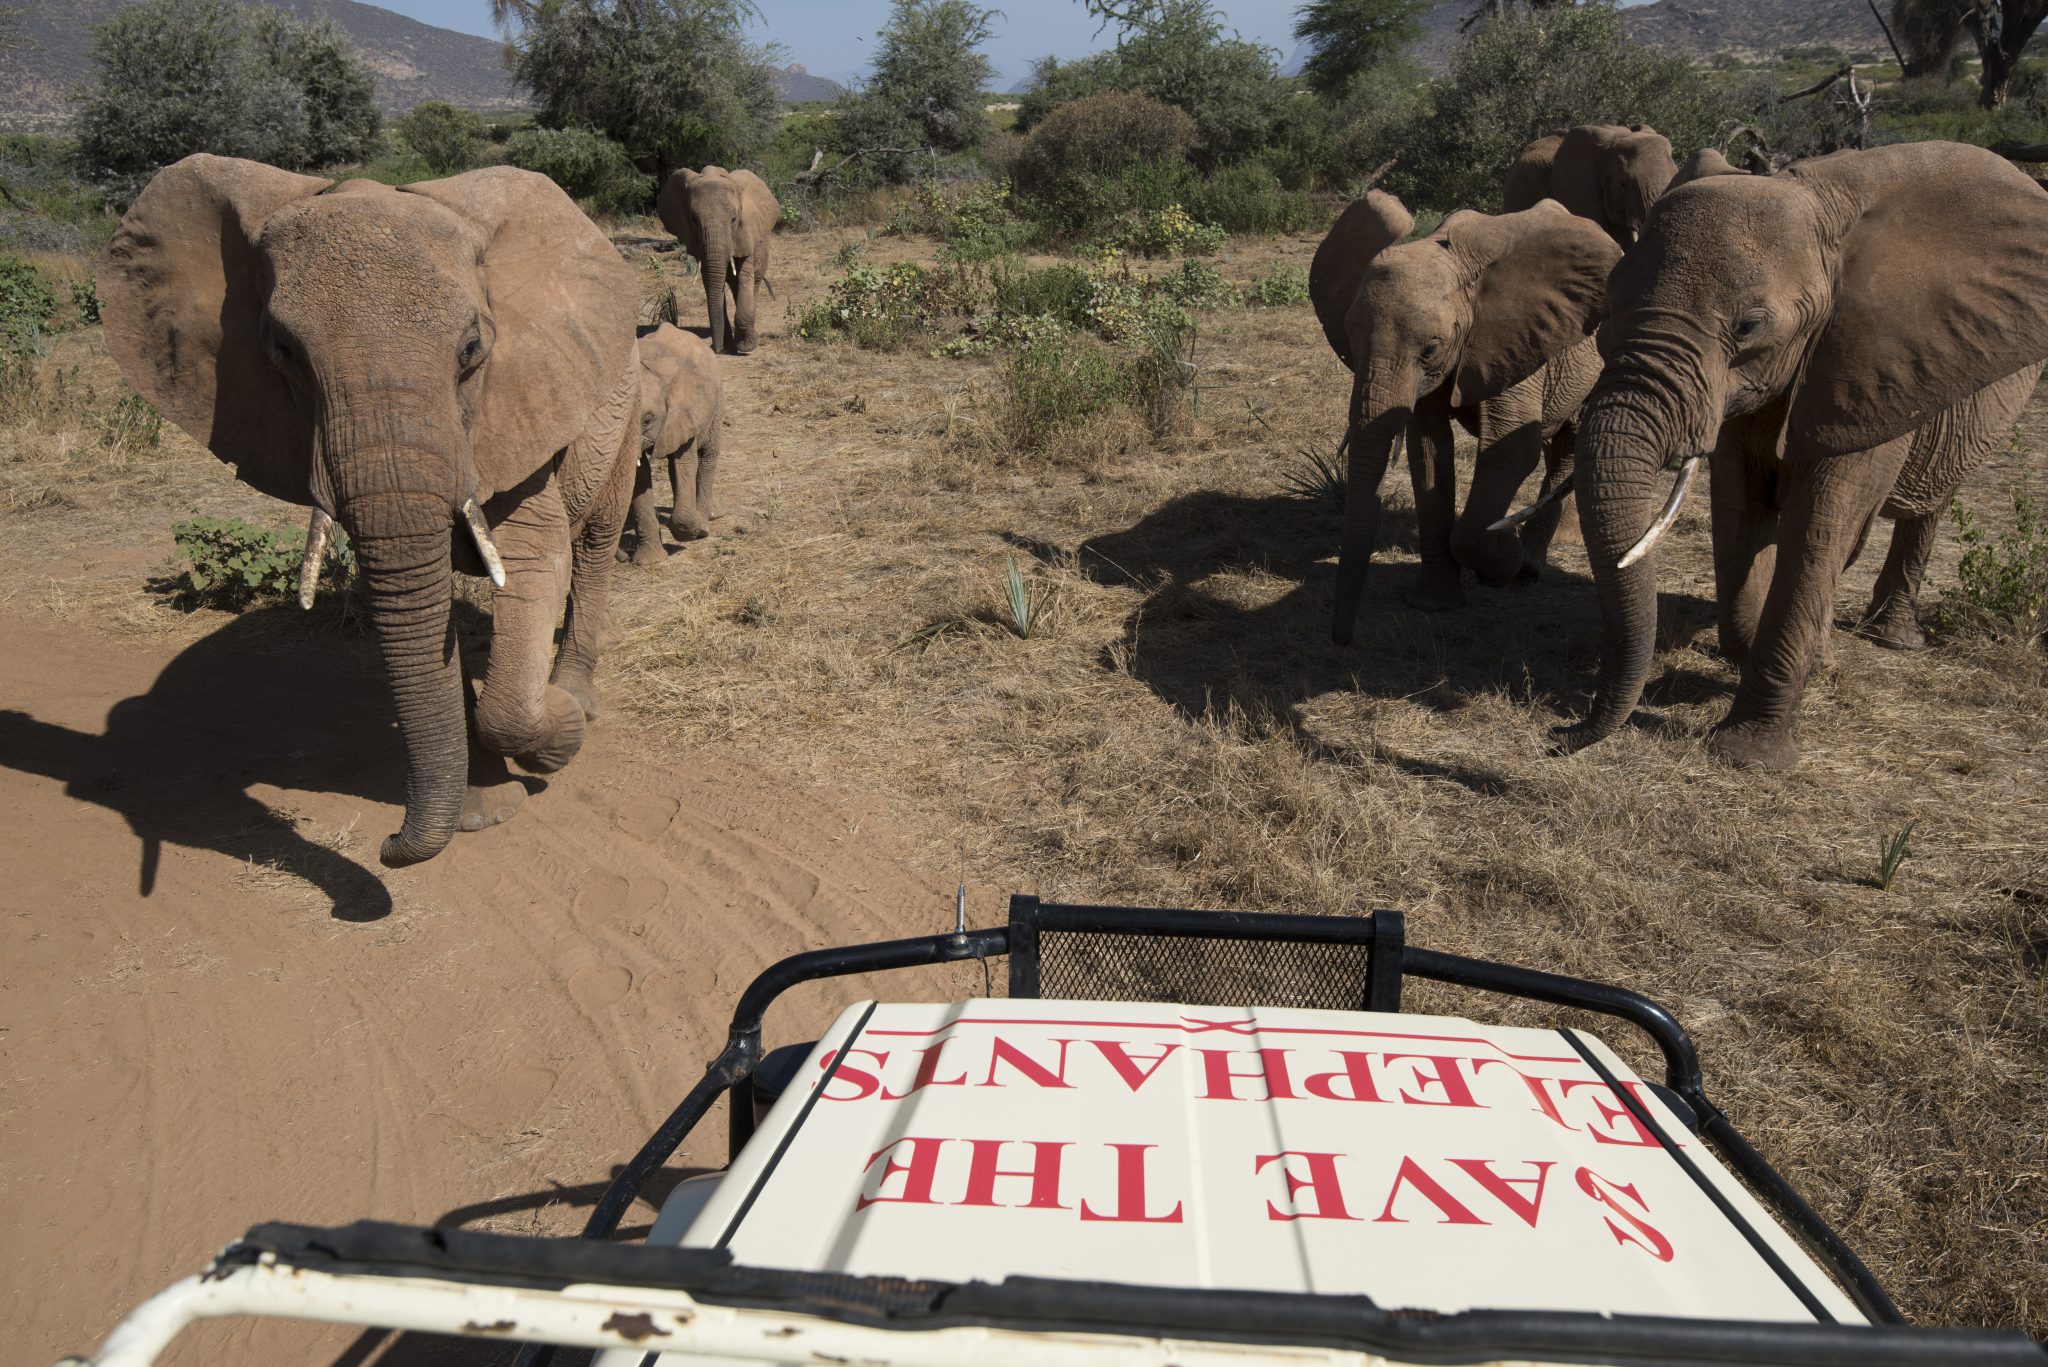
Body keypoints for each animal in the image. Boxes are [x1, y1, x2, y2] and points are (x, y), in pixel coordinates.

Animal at [101, 154, 642, 866]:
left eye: (472, 350)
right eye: (283, 352)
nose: (386, 845)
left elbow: (532, 559)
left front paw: (557, 724)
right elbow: (421, 605)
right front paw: (481, 810)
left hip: (626, 396)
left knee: (598, 538)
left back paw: (577, 695)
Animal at [623, 323, 726, 565]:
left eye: (647, 420)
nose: (621, 557)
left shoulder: (684, 411)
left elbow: (685, 463)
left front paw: (696, 531)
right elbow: (640, 478)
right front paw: (650, 561)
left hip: (715, 402)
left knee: (707, 455)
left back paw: (706, 520)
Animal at [655, 166, 779, 356]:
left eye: (734, 219)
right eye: (693, 219)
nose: (717, 350)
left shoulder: (744, 235)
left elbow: (744, 274)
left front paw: (746, 348)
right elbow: (710, 280)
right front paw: (727, 346)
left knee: (754, 281)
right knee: (734, 285)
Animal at [1310, 192, 1623, 644]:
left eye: (1430, 349)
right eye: (1351, 338)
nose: (1342, 639)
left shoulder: (1508, 339)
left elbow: (1510, 450)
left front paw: (1504, 558)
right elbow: (1428, 453)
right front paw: (1432, 604)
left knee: (1572, 441)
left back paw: (1528, 568)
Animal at [1562, 140, 2048, 768]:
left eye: (1749, 326)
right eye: (1607, 305)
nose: (1562, 734)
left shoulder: (1868, 365)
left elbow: (1819, 523)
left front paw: (1749, 755)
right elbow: (1739, 513)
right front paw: (1775, 657)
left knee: (1926, 504)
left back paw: (1893, 638)